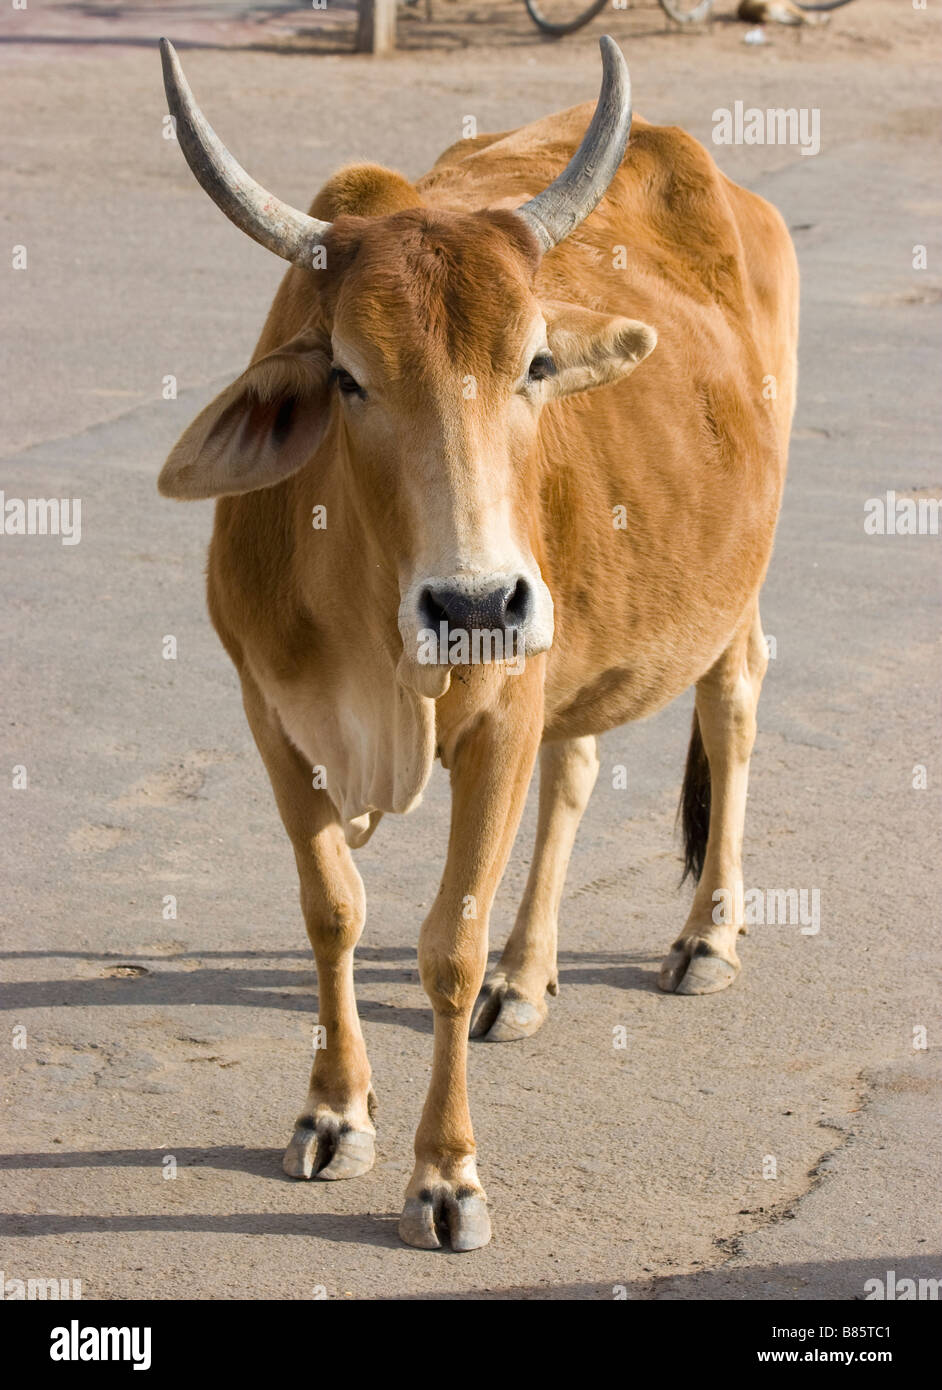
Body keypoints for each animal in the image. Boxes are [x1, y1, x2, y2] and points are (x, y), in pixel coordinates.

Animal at [157, 36, 798, 1251]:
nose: (476, 606)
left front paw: (446, 1177)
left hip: (729, 579)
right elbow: (332, 914)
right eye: (348, 376)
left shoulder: (498, 711)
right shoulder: (275, 723)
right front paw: (333, 1112)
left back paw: (706, 939)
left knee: (733, 707)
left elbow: (446, 944)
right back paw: (528, 975)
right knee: (576, 764)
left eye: (535, 364)